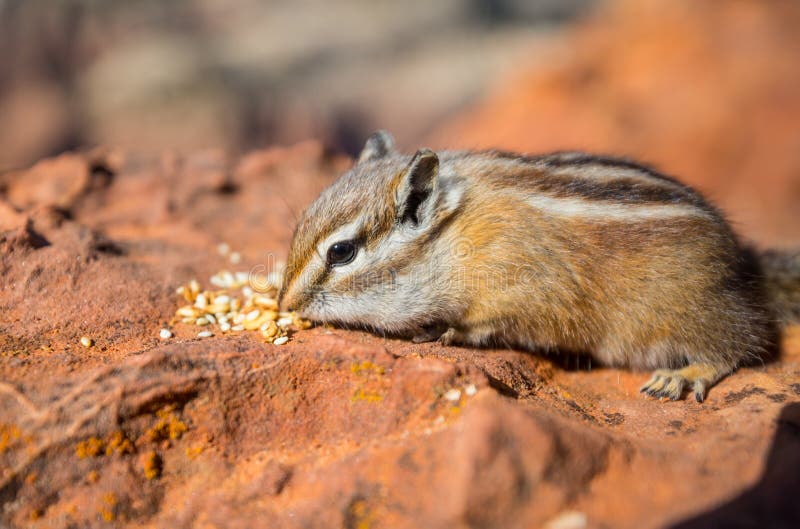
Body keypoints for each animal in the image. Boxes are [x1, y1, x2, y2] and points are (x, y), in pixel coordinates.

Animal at [279, 131, 800, 402]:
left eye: (342, 252)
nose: (286, 303)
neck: (451, 238)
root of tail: (746, 267)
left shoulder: (528, 289)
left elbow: (493, 323)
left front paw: (447, 330)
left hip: (685, 312)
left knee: (741, 342)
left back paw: (684, 374)